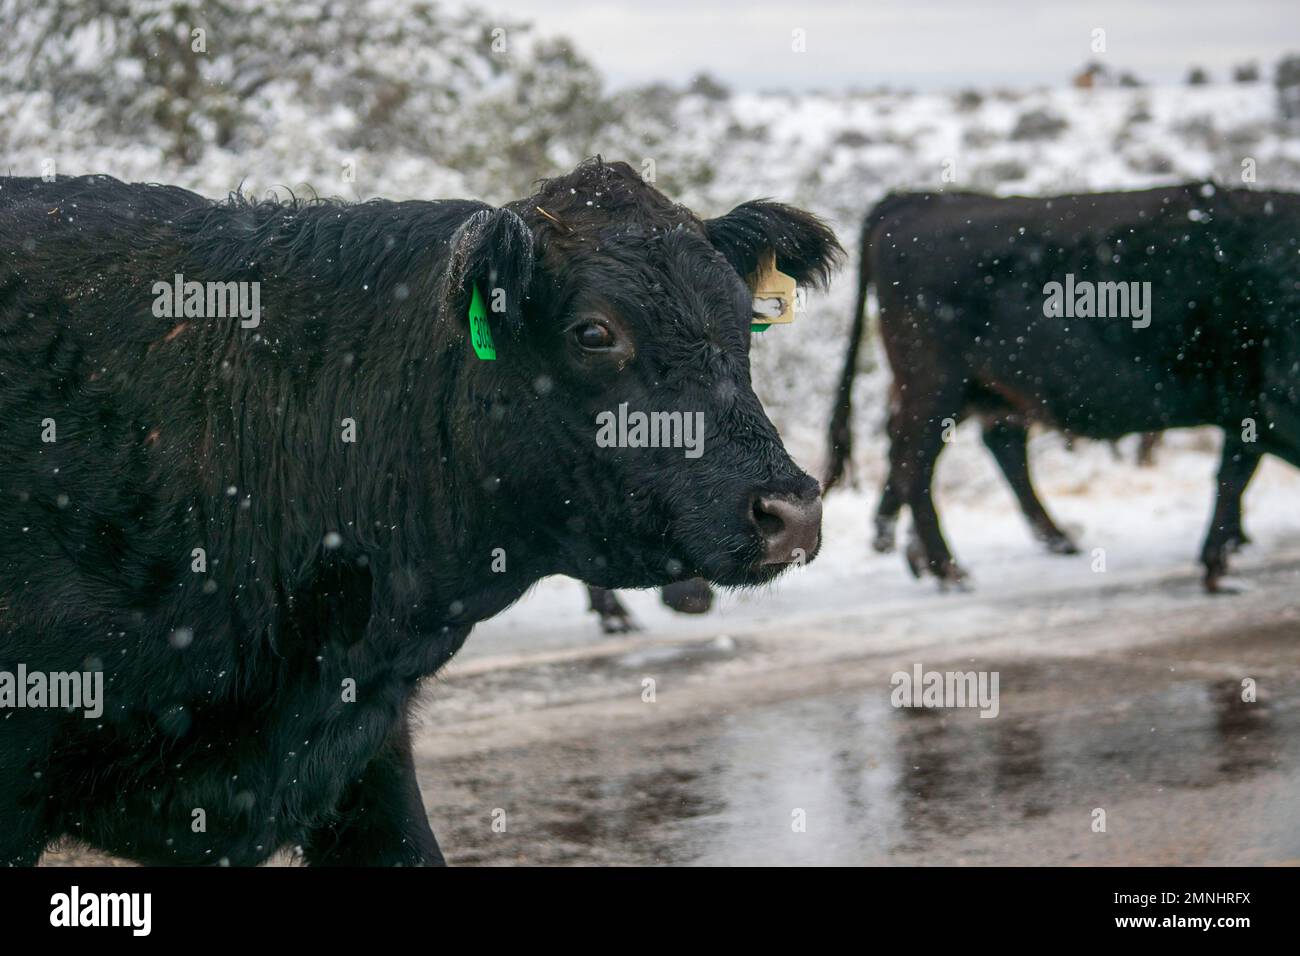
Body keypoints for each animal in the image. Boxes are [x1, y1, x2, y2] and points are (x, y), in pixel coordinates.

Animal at [824, 184, 1300, 592]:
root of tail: (919, 200)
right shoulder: (1267, 405)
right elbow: (1234, 477)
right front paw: (1220, 563)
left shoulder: (1247, 412)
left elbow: (1233, 475)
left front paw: (1225, 553)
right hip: (936, 390)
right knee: (917, 466)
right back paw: (948, 570)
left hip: (972, 392)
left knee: (974, 449)